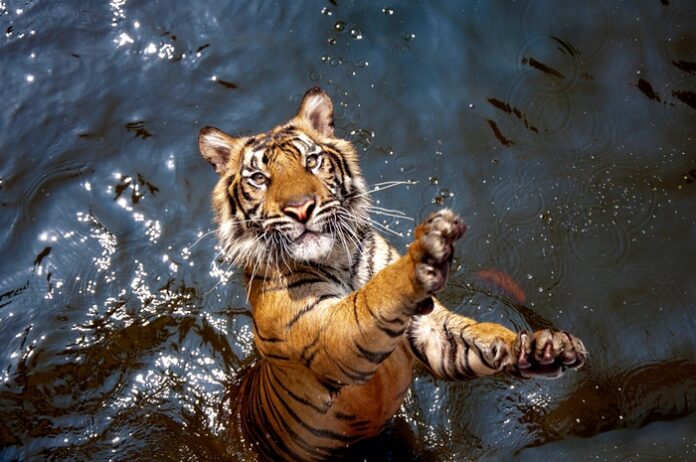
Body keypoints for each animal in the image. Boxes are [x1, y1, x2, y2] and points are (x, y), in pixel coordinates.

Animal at [197, 87, 587, 461]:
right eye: (259, 178)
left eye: (311, 161)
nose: (300, 209)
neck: (337, 258)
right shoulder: (324, 333)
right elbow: (371, 298)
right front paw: (423, 255)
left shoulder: (429, 328)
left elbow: (477, 335)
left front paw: (541, 347)